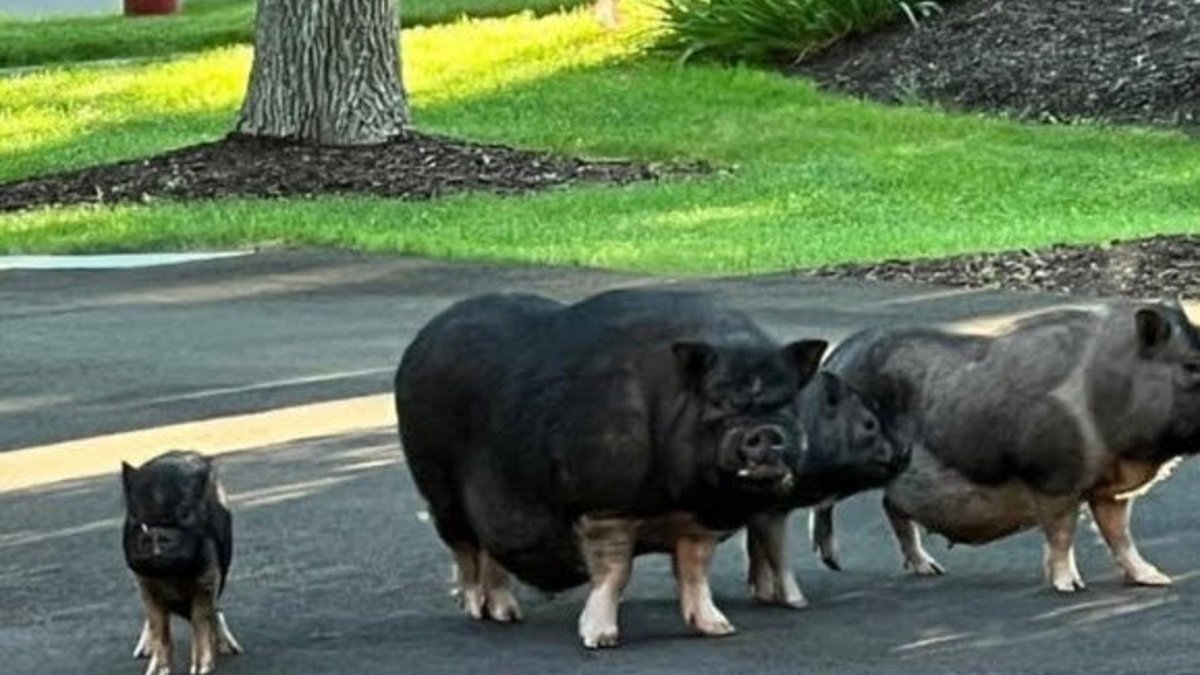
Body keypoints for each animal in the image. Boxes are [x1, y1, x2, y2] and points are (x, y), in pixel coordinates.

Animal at [122, 450, 242, 675]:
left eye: (184, 515)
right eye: (138, 520)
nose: (157, 536)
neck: (170, 576)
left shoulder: (206, 580)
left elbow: (200, 622)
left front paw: (201, 669)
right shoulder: (145, 585)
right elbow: (159, 628)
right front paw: (156, 671)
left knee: (215, 611)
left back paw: (231, 648)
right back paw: (143, 652)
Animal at [394, 289, 829, 648]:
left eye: (785, 403)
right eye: (719, 402)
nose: (766, 433)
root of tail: (421, 341)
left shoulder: (698, 522)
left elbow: (694, 571)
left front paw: (718, 629)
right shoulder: (605, 508)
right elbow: (615, 573)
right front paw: (601, 640)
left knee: (492, 551)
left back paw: (506, 615)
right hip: (436, 487)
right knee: (466, 550)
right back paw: (480, 612)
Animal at [810, 300, 1200, 592]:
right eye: (1192, 366)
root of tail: (836, 357)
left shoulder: (1109, 489)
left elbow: (1119, 535)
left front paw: (1156, 579)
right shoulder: (1054, 477)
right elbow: (1062, 532)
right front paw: (1069, 586)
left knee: (891, 506)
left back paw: (929, 569)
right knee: (825, 502)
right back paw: (832, 561)